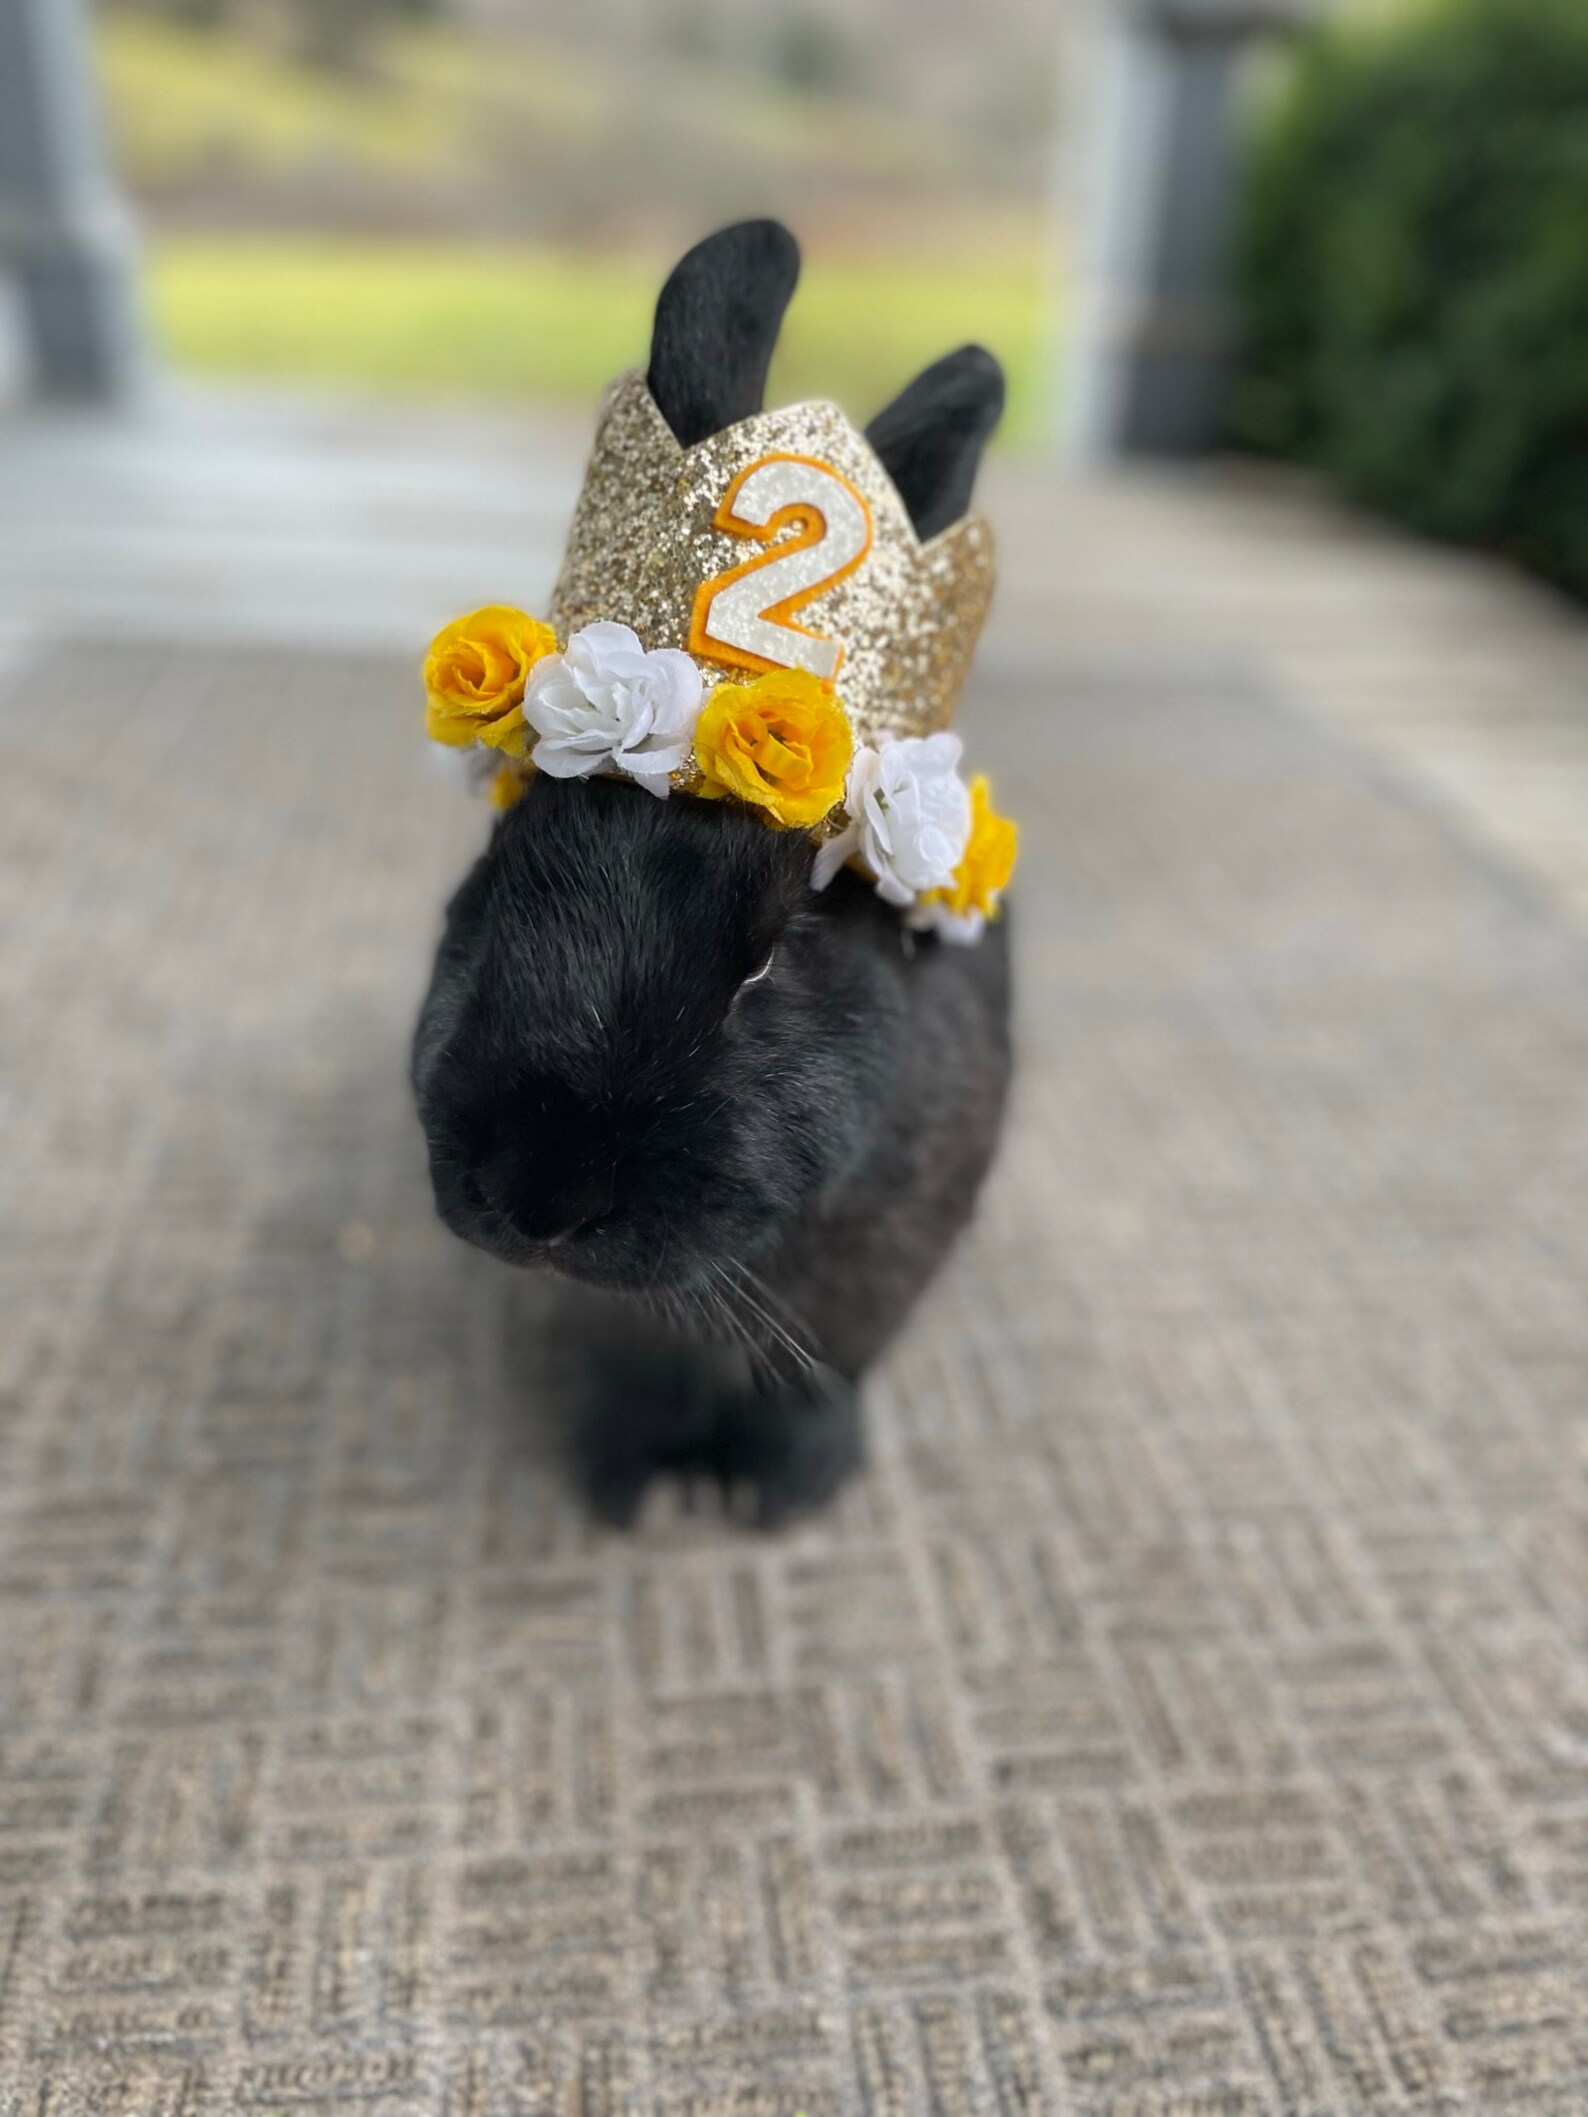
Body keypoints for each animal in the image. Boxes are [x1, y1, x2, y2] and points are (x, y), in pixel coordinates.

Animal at [412, 219, 1012, 1525]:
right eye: (493, 883)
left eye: (769, 960)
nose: (537, 1197)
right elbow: (636, 1373)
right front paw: (625, 1480)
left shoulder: (866, 1290)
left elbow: (811, 1384)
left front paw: (777, 1495)